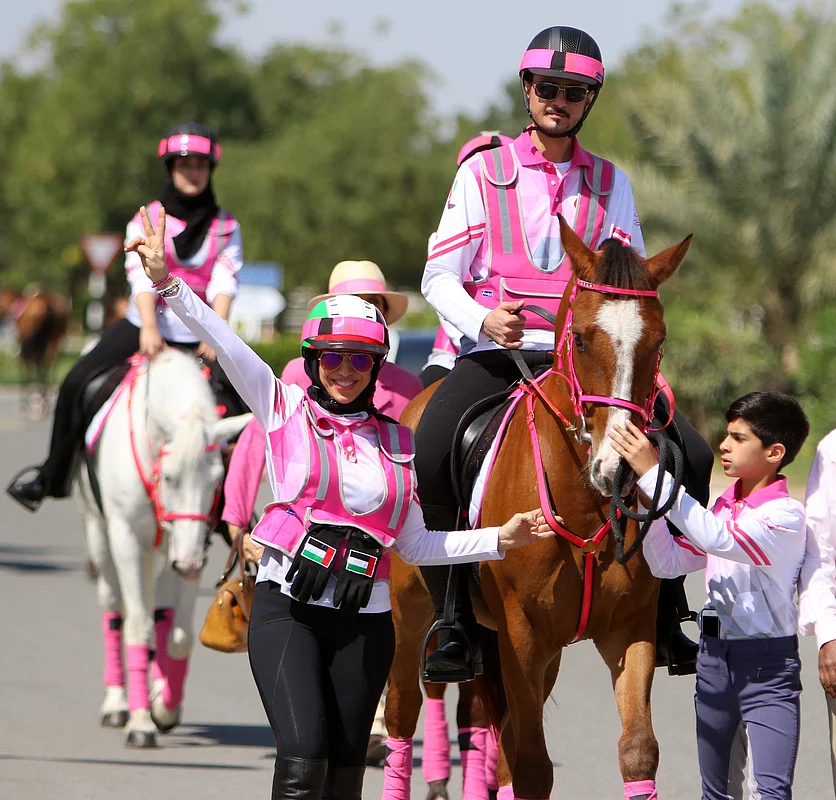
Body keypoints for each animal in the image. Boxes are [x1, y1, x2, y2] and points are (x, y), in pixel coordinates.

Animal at [0, 285, 69, 418]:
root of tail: (48, 302)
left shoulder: (25, 348)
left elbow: (25, 372)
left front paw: (24, 405)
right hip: (53, 341)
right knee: (48, 366)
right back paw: (45, 402)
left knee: (40, 368)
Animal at [73, 348, 251, 748]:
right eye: (170, 477)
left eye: (218, 478)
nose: (189, 563)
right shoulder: (126, 537)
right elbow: (137, 626)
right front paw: (141, 723)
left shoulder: (190, 542)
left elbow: (180, 636)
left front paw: (164, 709)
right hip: (100, 533)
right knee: (114, 609)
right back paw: (117, 704)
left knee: (162, 615)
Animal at [385, 216, 692, 799]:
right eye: (582, 337)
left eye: (660, 340)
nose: (620, 469)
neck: (586, 500)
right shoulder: (522, 636)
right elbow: (530, 765)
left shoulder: (629, 629)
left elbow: (638, 749)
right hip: (412, 613)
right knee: (402, 714)